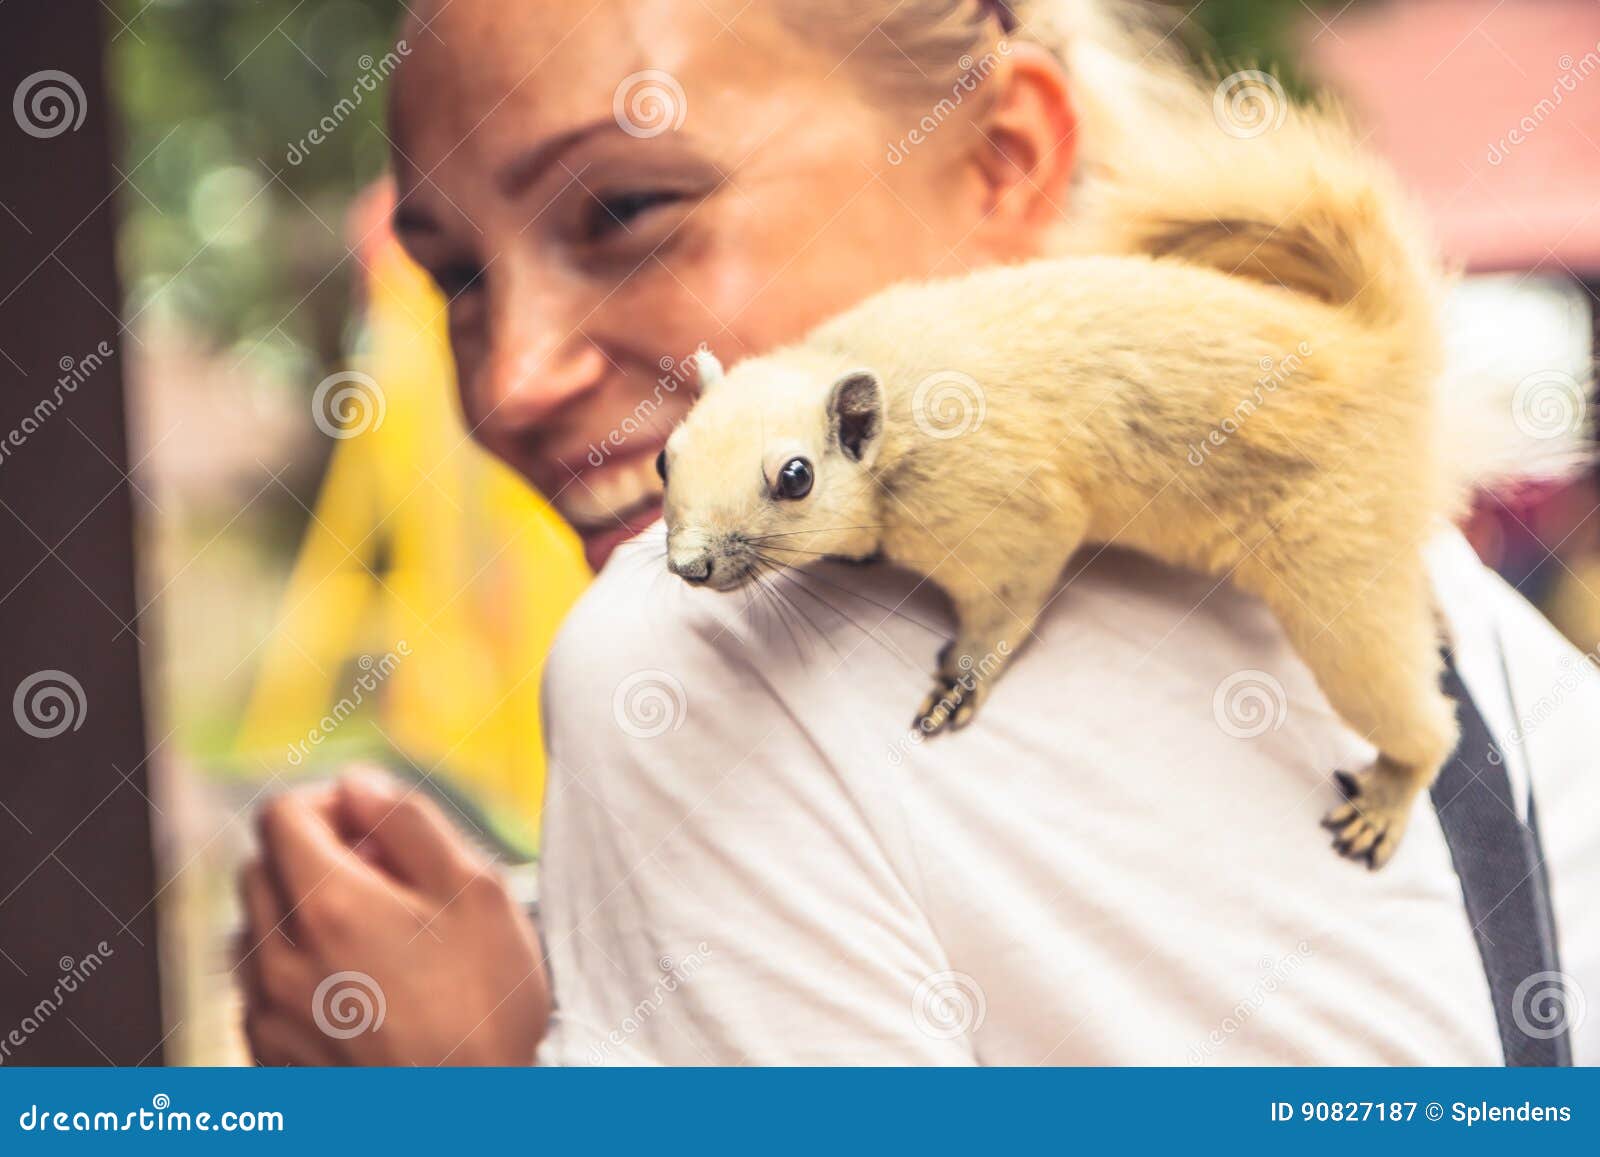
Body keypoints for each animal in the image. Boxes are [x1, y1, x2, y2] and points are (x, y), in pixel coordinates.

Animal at [656, 97, 1550, 869]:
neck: (887, 410)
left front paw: (959, 680)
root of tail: (1376, 350)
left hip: (1333, 573)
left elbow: (1010, 602)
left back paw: (1388, 795)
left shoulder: (1007, 511)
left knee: (1421, 719)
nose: (689, 565)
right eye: (667, 457)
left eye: (795, 477)